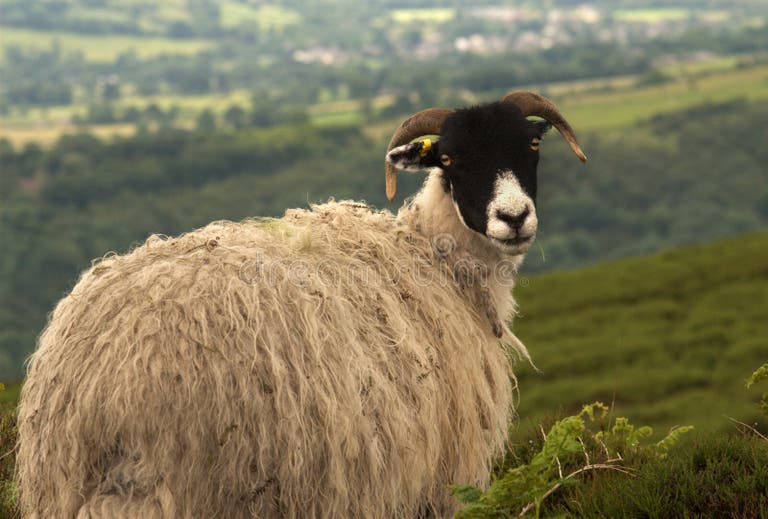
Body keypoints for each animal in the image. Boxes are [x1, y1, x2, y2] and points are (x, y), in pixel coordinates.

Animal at [16, 91, 586, 518]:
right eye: (449, 159)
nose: (514, 217)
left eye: (532, 143)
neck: (435, 259)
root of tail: (104, 385)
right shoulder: (444, 475)